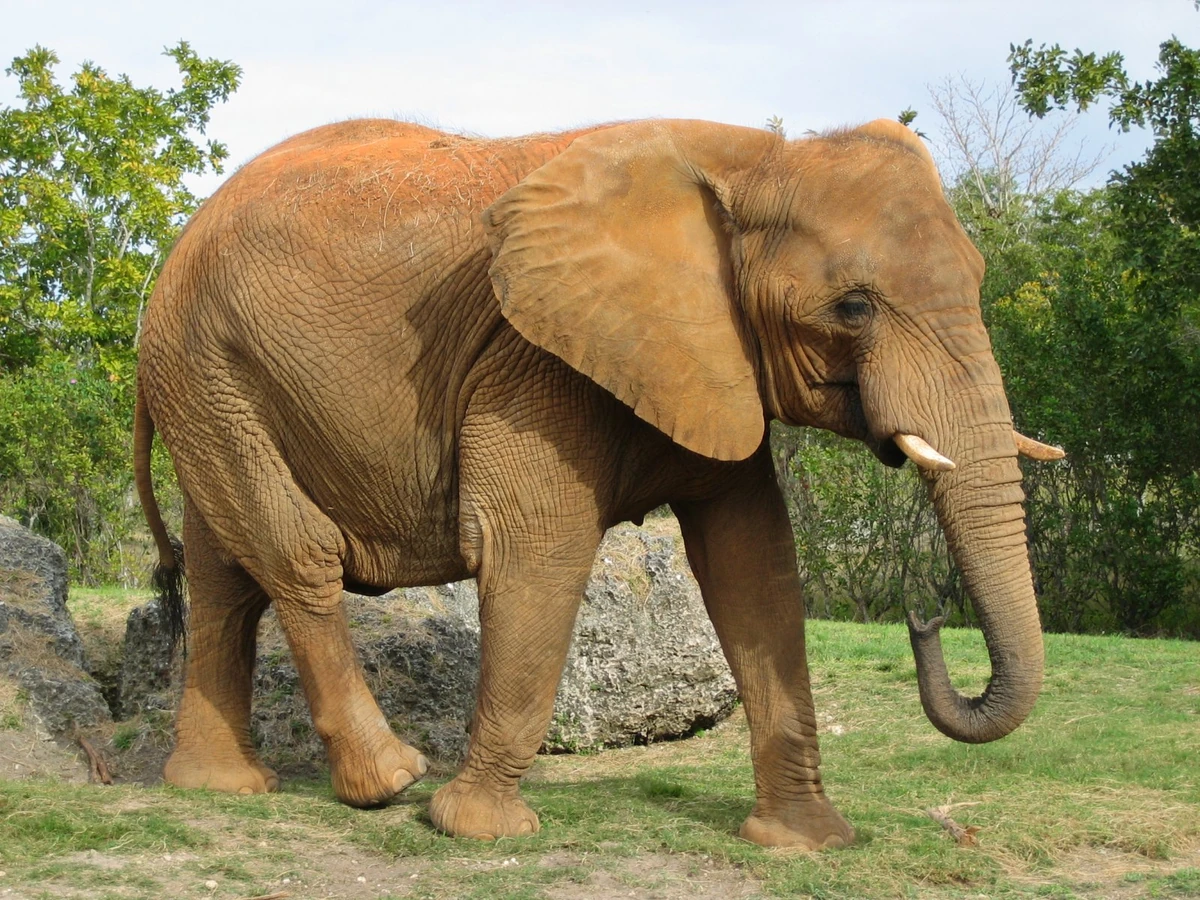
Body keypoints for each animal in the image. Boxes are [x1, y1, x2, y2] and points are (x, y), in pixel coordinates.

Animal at [133, 116, 1063, 850]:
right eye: (854, 308)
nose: (924, 617)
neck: (754, 158)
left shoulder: (705, 355)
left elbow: (753, 564)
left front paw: (807, 843)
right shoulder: (537, 359)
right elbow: (534, 546)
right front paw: (478, 832)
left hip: (212, 377)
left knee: (225, 577)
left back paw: (220, 788)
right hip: (205, 363)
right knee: (295, 556)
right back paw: (391, 780)